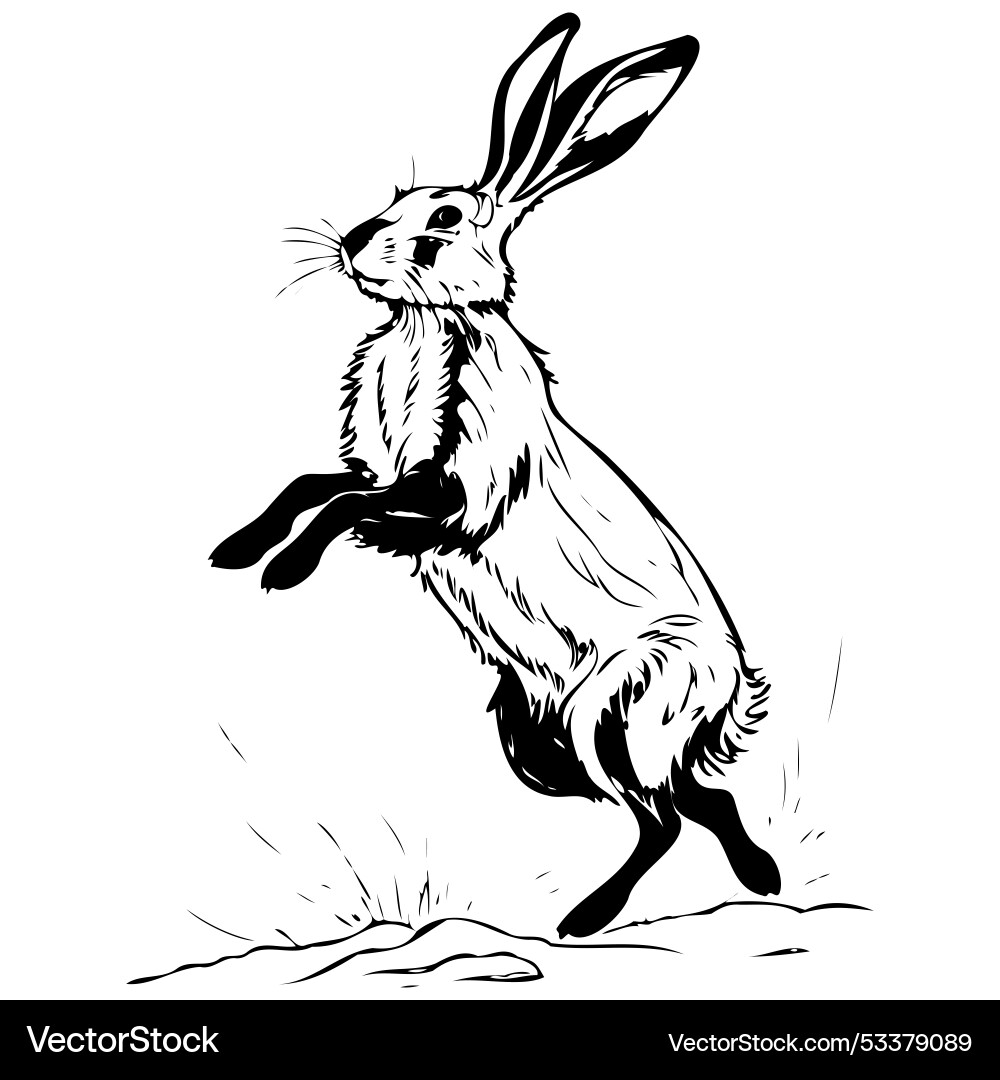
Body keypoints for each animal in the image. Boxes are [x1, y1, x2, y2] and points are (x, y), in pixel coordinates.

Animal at [210, 13, 780, 938]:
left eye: (442, 217)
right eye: (394, 199)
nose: (353, 244)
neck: (428, 324)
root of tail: (732, 694)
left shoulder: (454, 494)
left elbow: (345, 504)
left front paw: (286, 572)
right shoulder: (384, 472)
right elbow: (311, 485)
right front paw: (237, 549)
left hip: (612, 714)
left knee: (661, 818)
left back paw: (587, 920)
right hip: (534, 739)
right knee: (702, 799)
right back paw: (760, 878)